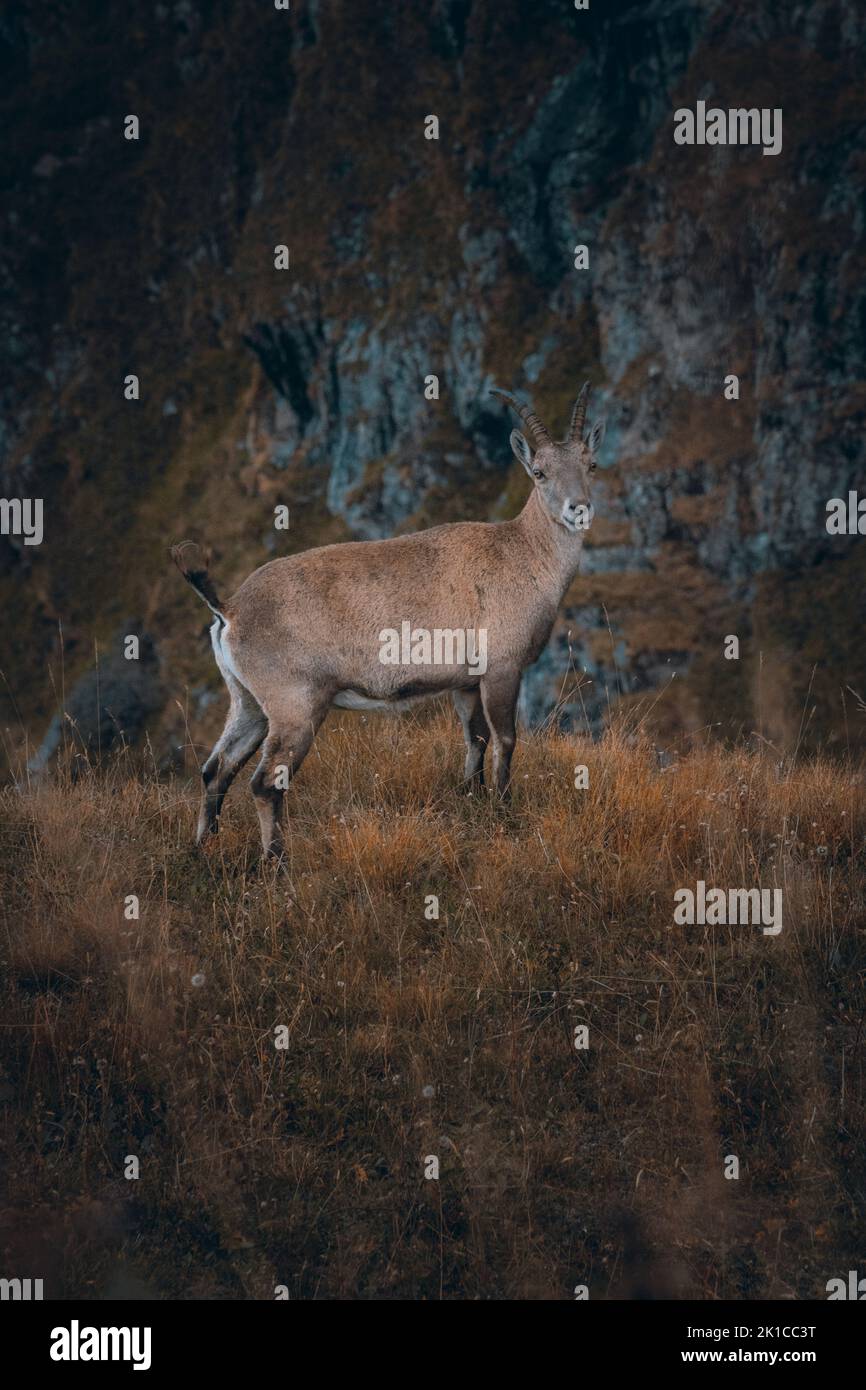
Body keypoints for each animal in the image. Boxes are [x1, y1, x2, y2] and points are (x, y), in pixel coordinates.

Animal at [171, 382, 606, 858]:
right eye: (540, 472)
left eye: (591, 464)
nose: (579, 508)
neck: (523, 554)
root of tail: (228, 610)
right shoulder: (502, 669)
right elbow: (505, 740)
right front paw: (504, 811)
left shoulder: (467, 682)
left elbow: (475, 740)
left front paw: (474, 802)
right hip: (295, 705)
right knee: (265, 783)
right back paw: (277, 861)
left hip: (247, 702)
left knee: (216, 768)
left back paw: (202, 850)